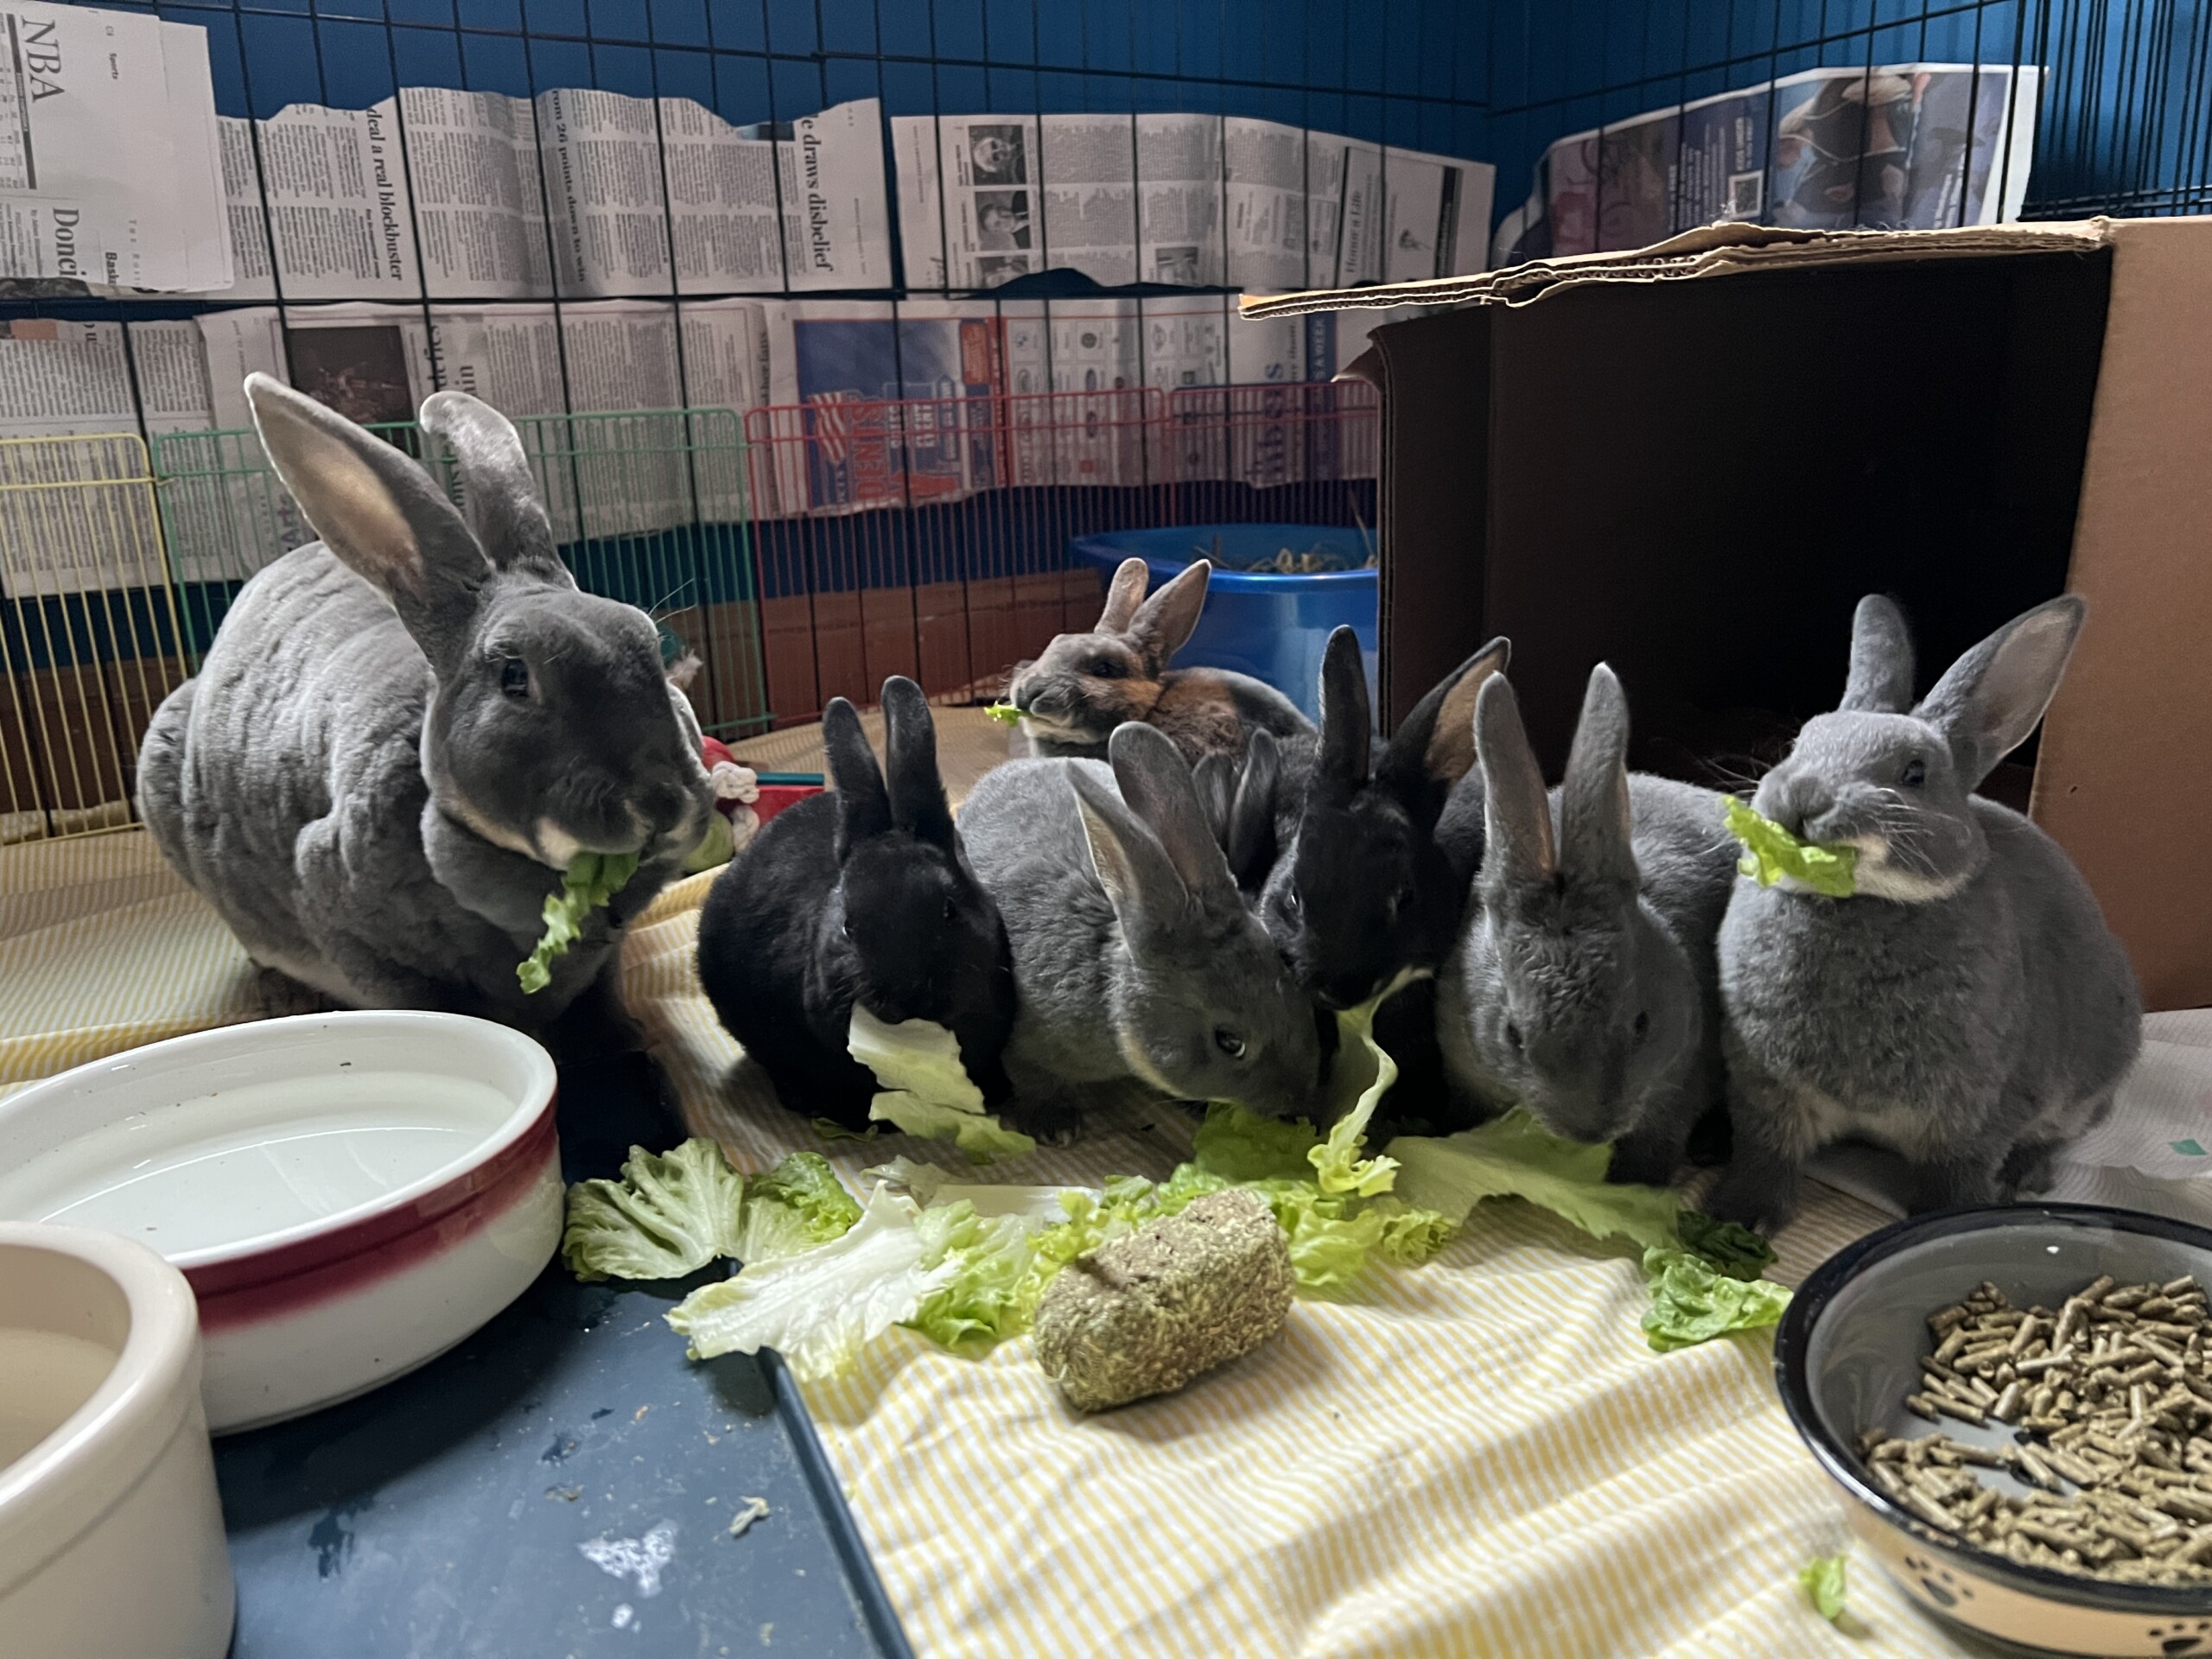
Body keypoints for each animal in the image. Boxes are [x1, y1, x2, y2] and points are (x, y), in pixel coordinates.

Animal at [135, 375, 713, 1042]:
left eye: (646, 643)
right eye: (515, 677)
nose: (663, 803)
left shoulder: (604, 958)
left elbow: (605, 994)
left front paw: (629, 1042)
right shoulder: (347, 926)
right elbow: (436, 1006)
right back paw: (282, 994)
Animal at [1438, 665, 1741, 1185]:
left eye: (1641, 1024)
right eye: (1513, 1035)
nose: (1590, 1132)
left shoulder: (1678, 1087)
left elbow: (1656, 1145)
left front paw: (1633, 1186)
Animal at [1706, 594, 2142, 1233]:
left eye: (1915, 773)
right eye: (1799, 742)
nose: (1802, 798)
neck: (1857, 901)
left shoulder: (1975, 1114)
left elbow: (1956, 1177)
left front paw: (1955, 1221)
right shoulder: (1766, 1090)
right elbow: (1766, 1153)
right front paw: (1737, 1219)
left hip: (2092, 1077)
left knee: (2061, 1133)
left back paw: (2023, 1176)